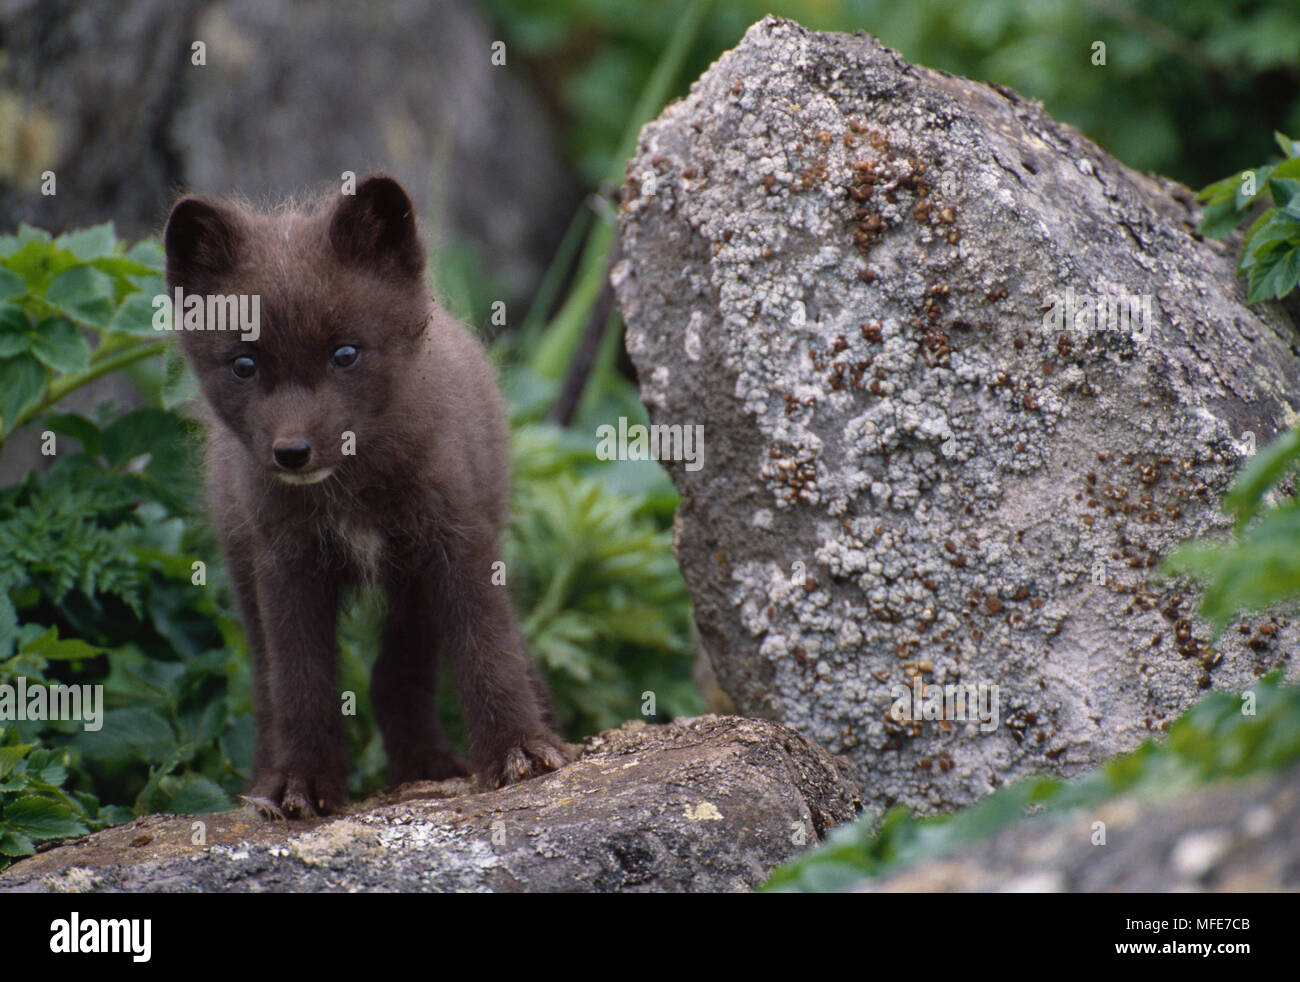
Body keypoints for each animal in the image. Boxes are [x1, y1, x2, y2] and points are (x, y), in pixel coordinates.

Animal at [163, 174, 571, 818]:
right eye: (244, 364)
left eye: (345, 354)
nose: (291, 452)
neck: (350, 495)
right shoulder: (285, 562)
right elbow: (298, 681)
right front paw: (300, 781)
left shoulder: (458, 541)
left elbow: (489, 648)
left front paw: (520, 749)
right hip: (244, 568)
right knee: (269, 683)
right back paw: (266, 779)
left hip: (422, 577)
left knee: (400, 673)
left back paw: (431, 764)